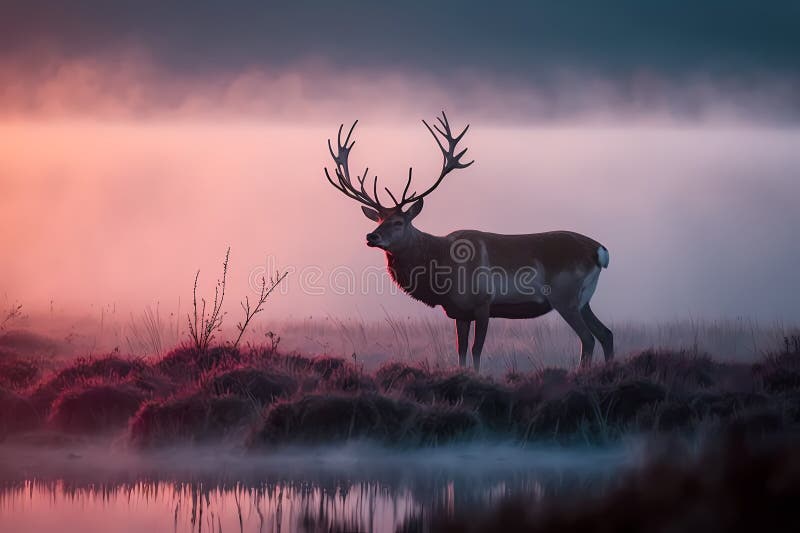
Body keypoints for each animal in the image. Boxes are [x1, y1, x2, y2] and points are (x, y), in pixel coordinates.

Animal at [324, 112, 613, 372]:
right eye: (378, 219)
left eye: (398, 222)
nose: (371, 236)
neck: (443, 272)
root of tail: (599, 251)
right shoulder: (458, 311)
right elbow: (461, 351)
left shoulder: (484, 303)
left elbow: (476, 351)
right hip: (583, 299)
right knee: (606, 334)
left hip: (566, 297)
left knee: (588, 338)